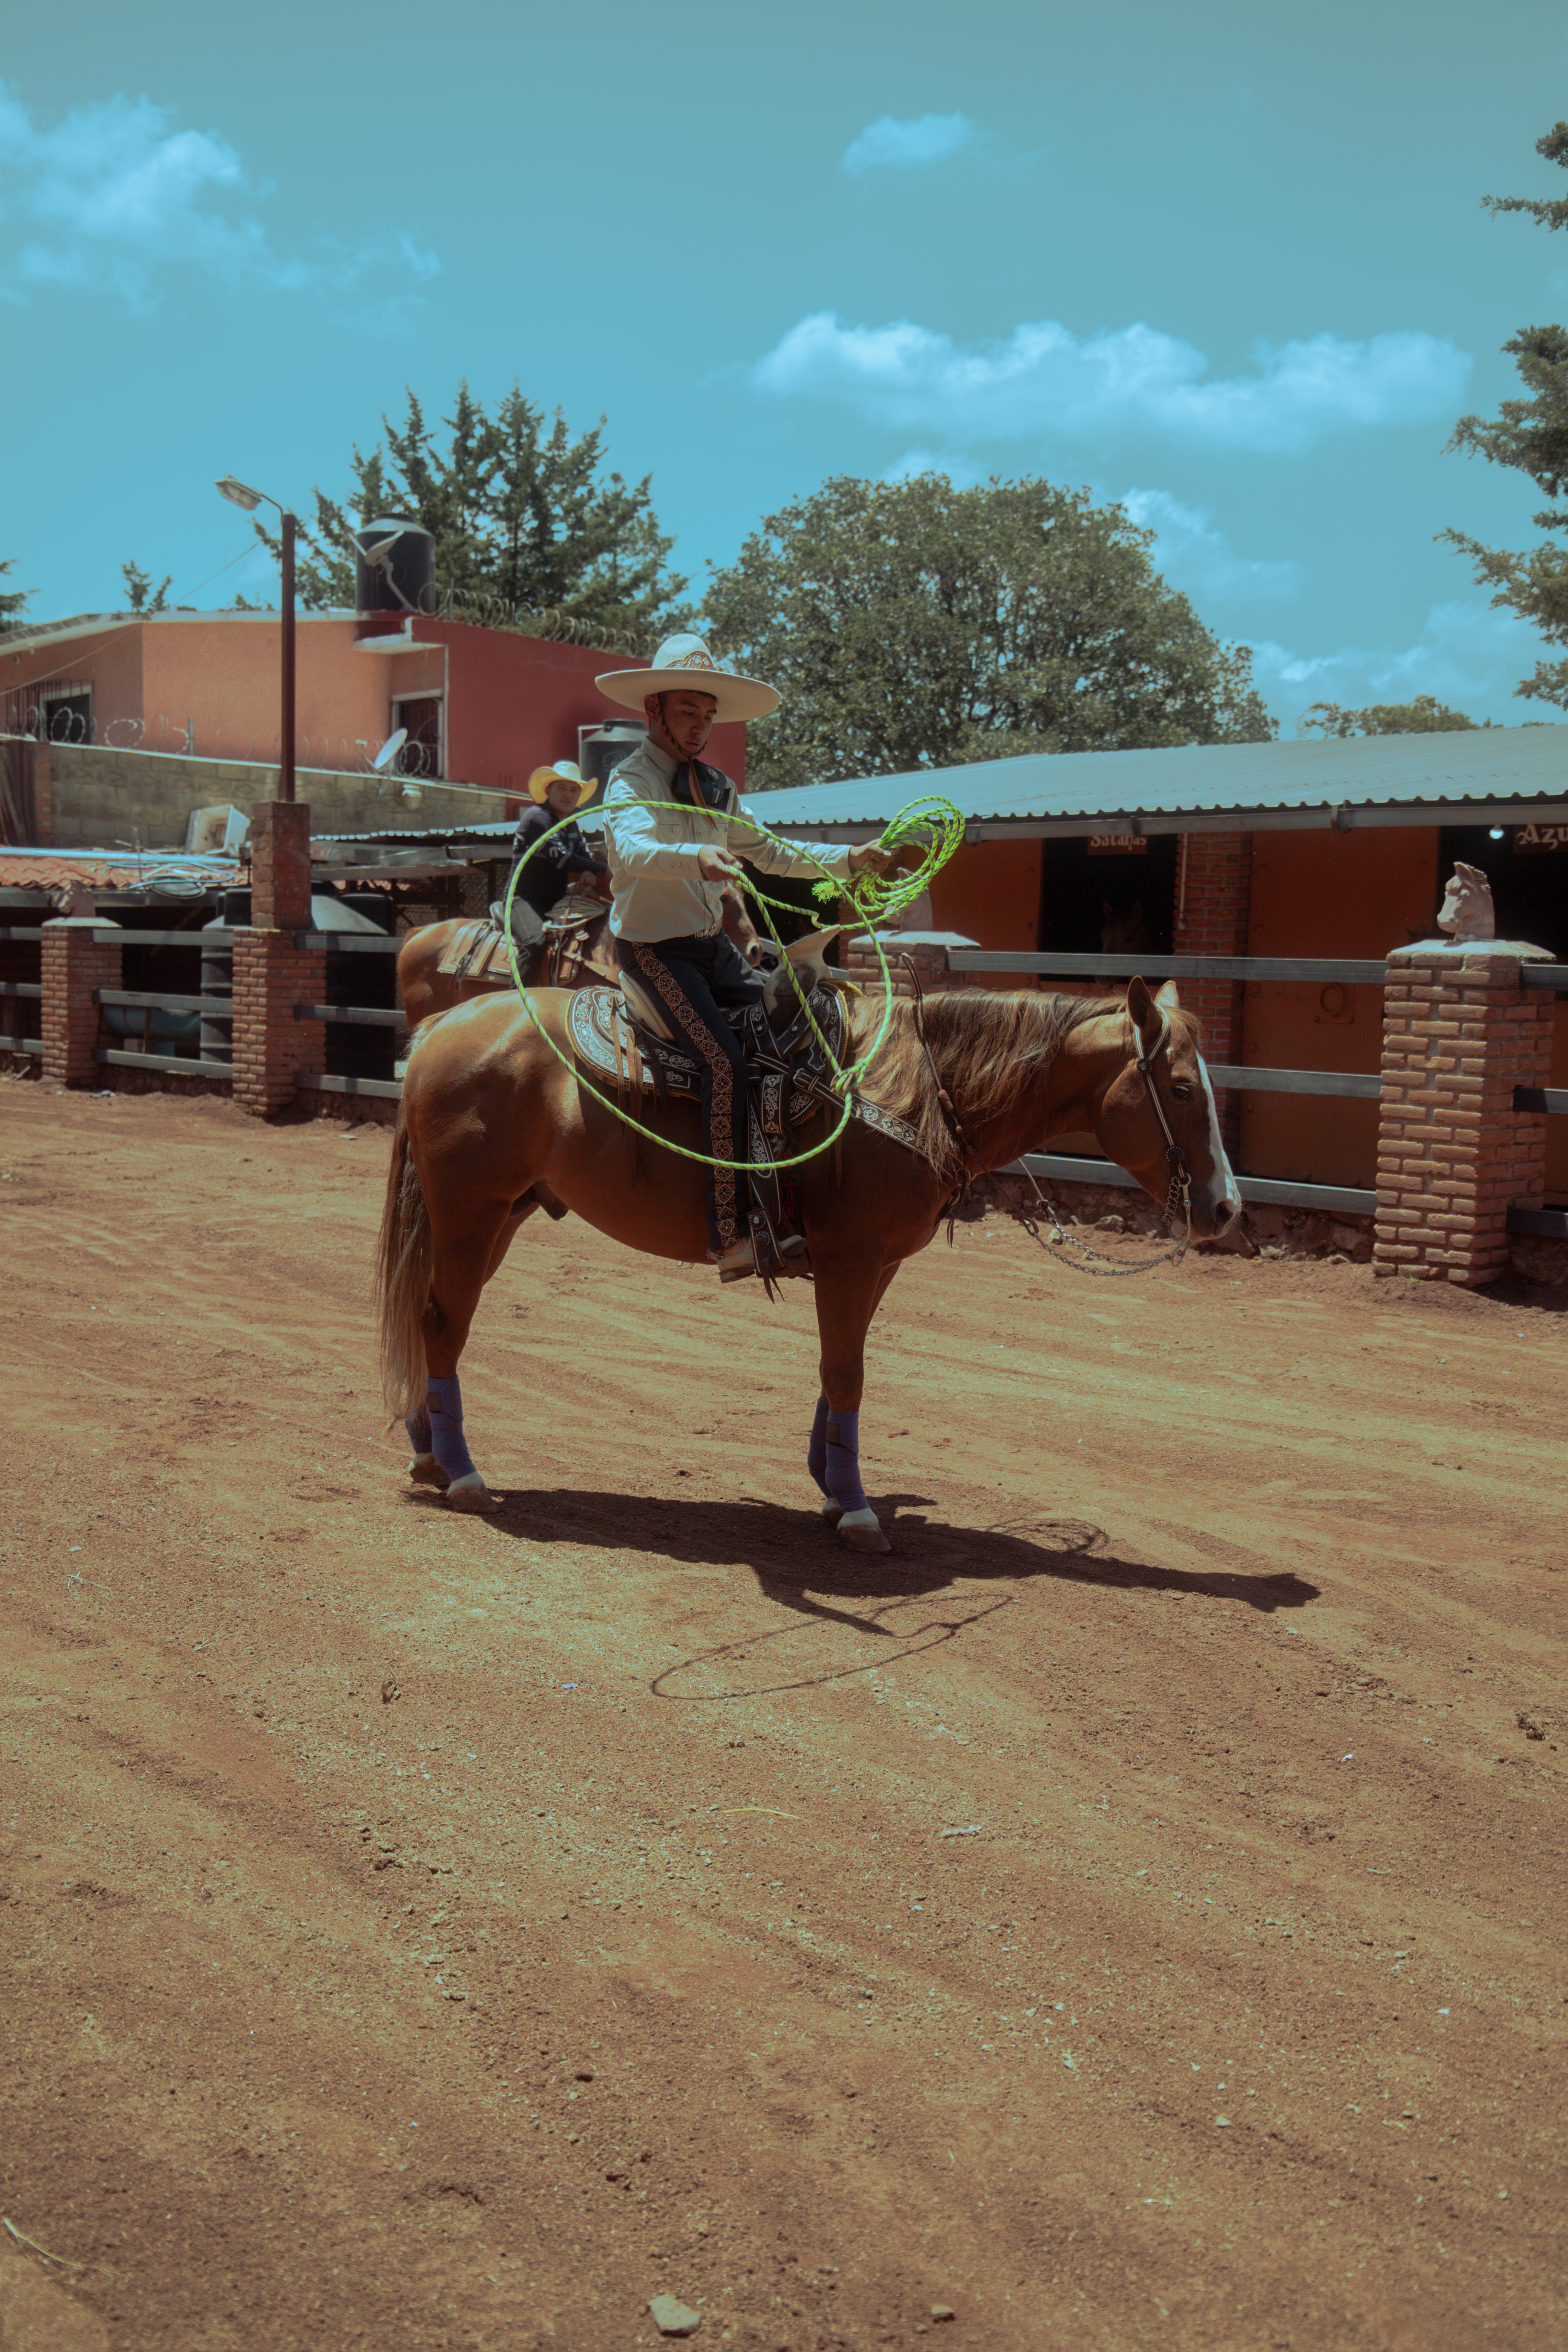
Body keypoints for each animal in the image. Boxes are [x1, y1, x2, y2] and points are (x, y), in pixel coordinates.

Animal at [375, 972, 1242, 1546]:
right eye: (1179, 1088)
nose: (1226, 1209)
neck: (914, 1086)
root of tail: (441, 1026)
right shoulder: (850, 1255)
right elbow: (846, 1371)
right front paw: (855, 1508)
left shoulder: (876, 1262)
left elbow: (842, 1370)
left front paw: (831, 1483)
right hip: (472, 1214)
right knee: (443, 1325)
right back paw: (463, 1475)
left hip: (498, 1216)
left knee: (429, 1316)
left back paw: (428, 1455)